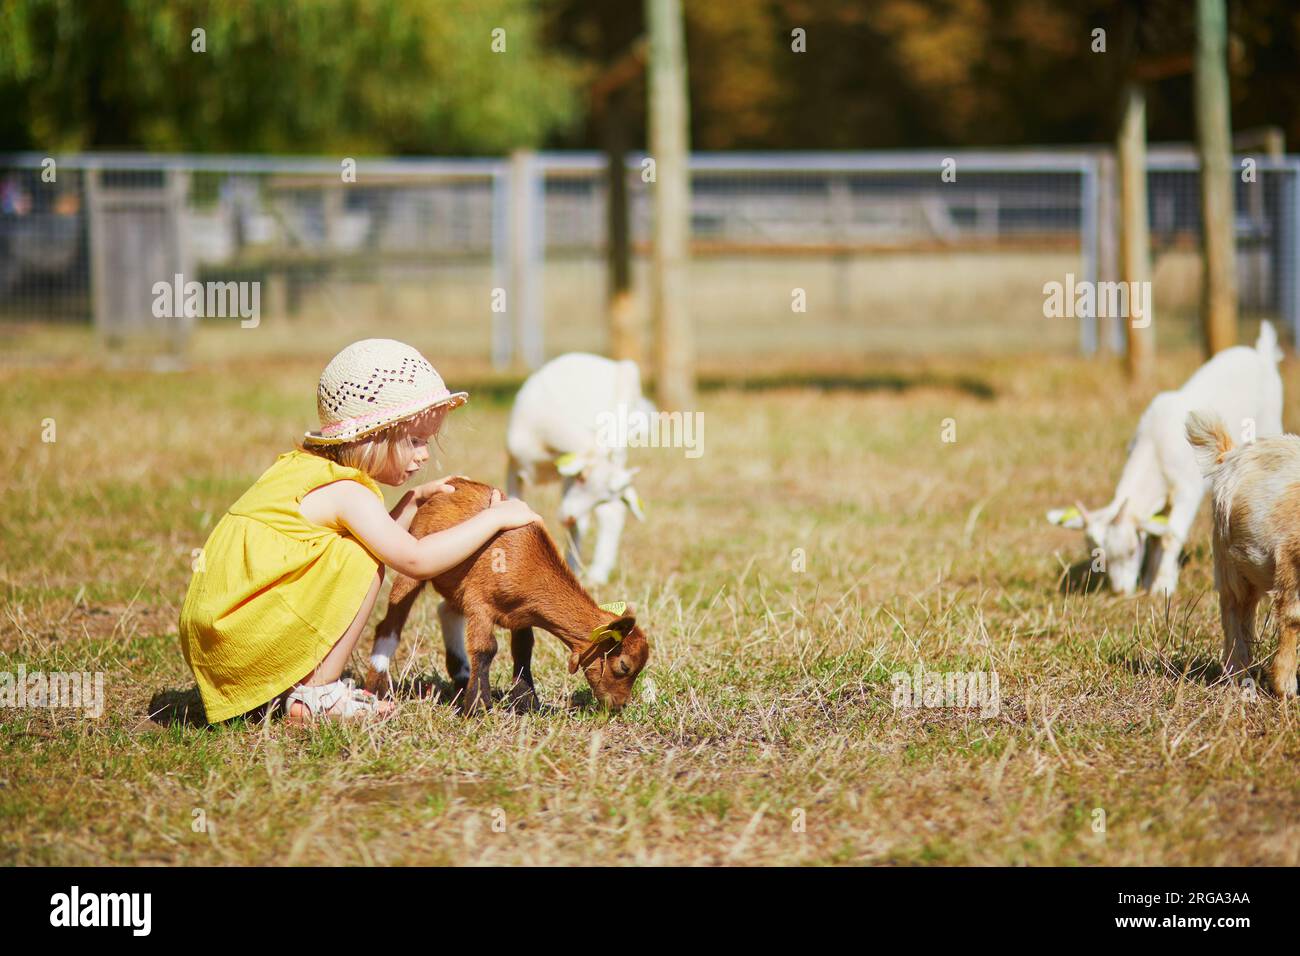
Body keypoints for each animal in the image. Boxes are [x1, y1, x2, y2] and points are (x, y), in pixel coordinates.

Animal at [363, 479, 650, 713]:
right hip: (414, 562)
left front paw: (526, 702)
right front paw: (478, 706)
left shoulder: (521, 614)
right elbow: (486, 647)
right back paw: (378, 683)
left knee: (445, 610)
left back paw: (461, 676)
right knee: (390, 623)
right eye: (624, 666)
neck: (527, 563)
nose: (619, 705)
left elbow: (523, 649)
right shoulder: (479, 603)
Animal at [505, 352, 653, 585]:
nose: (568, 517)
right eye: (581, 477)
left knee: (612, 513)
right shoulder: (515, 466)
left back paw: (598, 574)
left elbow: (579, 525)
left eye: (601, 499)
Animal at [1047, 321, 1283, 596]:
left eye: (1131, 550)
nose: (1120, 592)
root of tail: (1262, 354)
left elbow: (1171, 536)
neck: (1154, 447)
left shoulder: (1187, 491)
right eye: (1095, 555)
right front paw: (1150, 580)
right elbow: (1156, 535)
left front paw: (1163, 586)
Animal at [1187, 411, 1300, 697]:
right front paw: (1285, 687)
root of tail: (1229, 454)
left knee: (1248, 610)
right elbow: (1293, 617)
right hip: (1228, 562)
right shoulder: (1291, 564)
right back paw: (1238, 673)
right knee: (1233, 610)